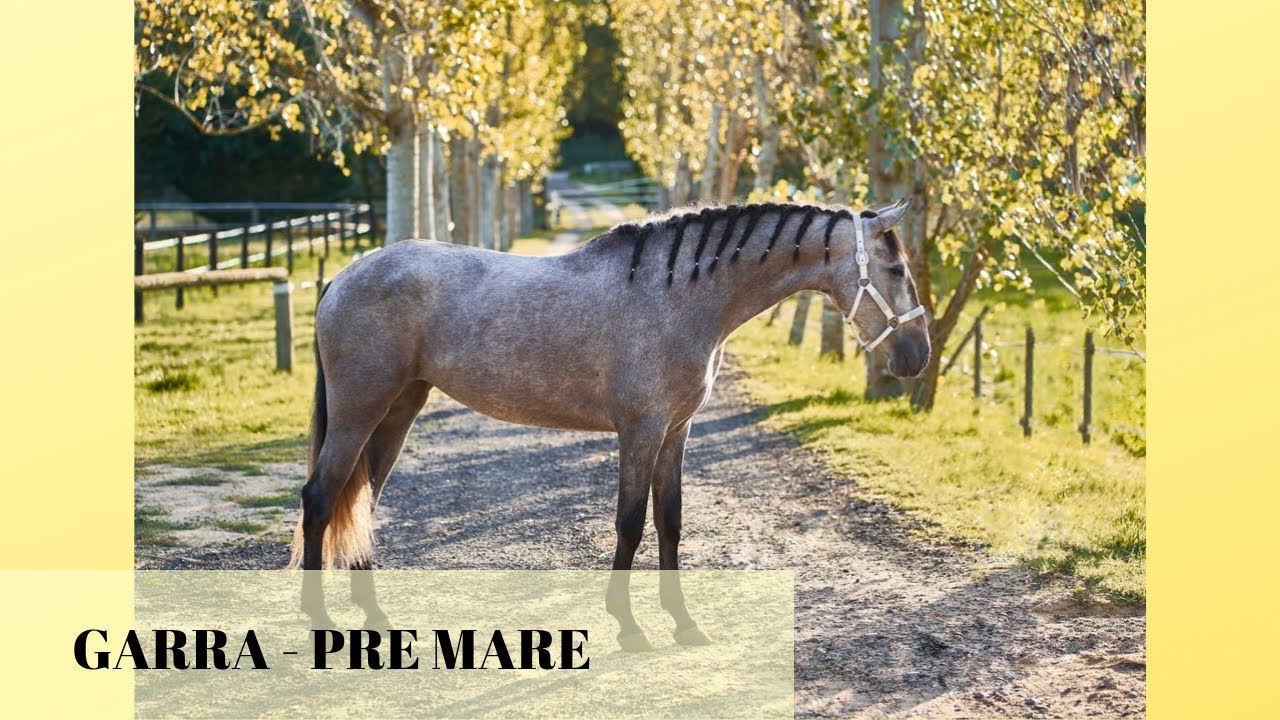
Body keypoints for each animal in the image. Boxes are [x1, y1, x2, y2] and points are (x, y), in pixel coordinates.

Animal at [291, 200, 931, 649]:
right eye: (896, 267)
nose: (917, 356)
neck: (674, 296)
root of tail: (344, 275)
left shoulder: (676, 432)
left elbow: (670, 523)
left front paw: (684, 624)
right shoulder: (641, 431)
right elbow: (629, 524)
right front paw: (629, 627)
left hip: (398, 409)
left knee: (363, 499)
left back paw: (375, 618)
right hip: (358, 410)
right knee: (321, 497)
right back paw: (320, 618)